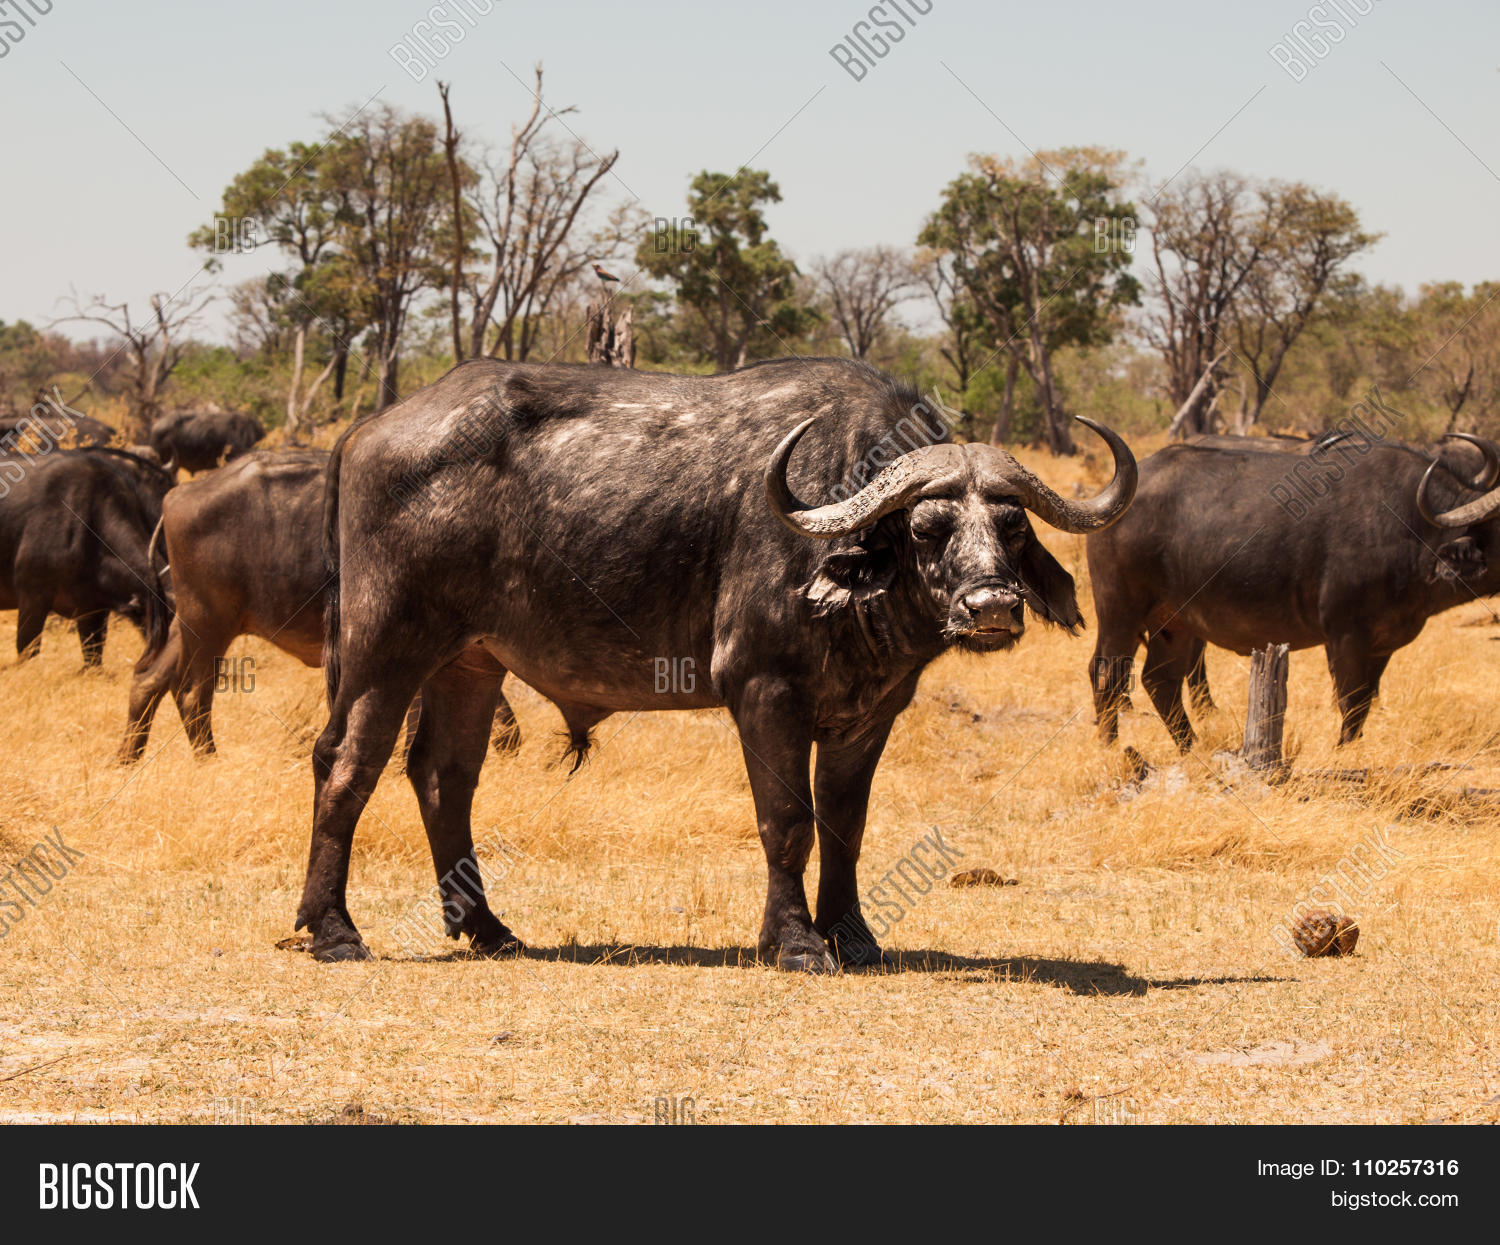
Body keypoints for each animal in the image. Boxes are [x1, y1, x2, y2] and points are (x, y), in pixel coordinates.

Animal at [119, 449, 521, 762]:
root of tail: (179, 494)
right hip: (209, 621)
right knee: (190, 692)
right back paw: (209, 759)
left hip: (189, 622)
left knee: (147, 679)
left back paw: (127, 758)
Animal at [294, 358, 1136, 967]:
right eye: (928, 528)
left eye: (1011, 525)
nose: (993, 605)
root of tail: (367, 431)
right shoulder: (763, 693)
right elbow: (786, 821)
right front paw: (794, 942)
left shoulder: (870, 714)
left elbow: (846, 822)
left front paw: (852, 934)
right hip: (385, 647)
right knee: (345, 762)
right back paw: (333, 929)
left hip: (469, 661)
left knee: (443, 775)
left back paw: (489, 928)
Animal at [1088, 433, 1500, 749]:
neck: (1415, 531)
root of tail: (1108, 503)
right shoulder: (1345, 637)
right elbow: (1352, 703)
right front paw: (1343, 751)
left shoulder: (1383, 647)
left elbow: (1367, 700)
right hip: (1119, 613)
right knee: (1107, 673)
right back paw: (1111, 746)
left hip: (1175, 623)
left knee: (1160, 680)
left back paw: (1191, 747)